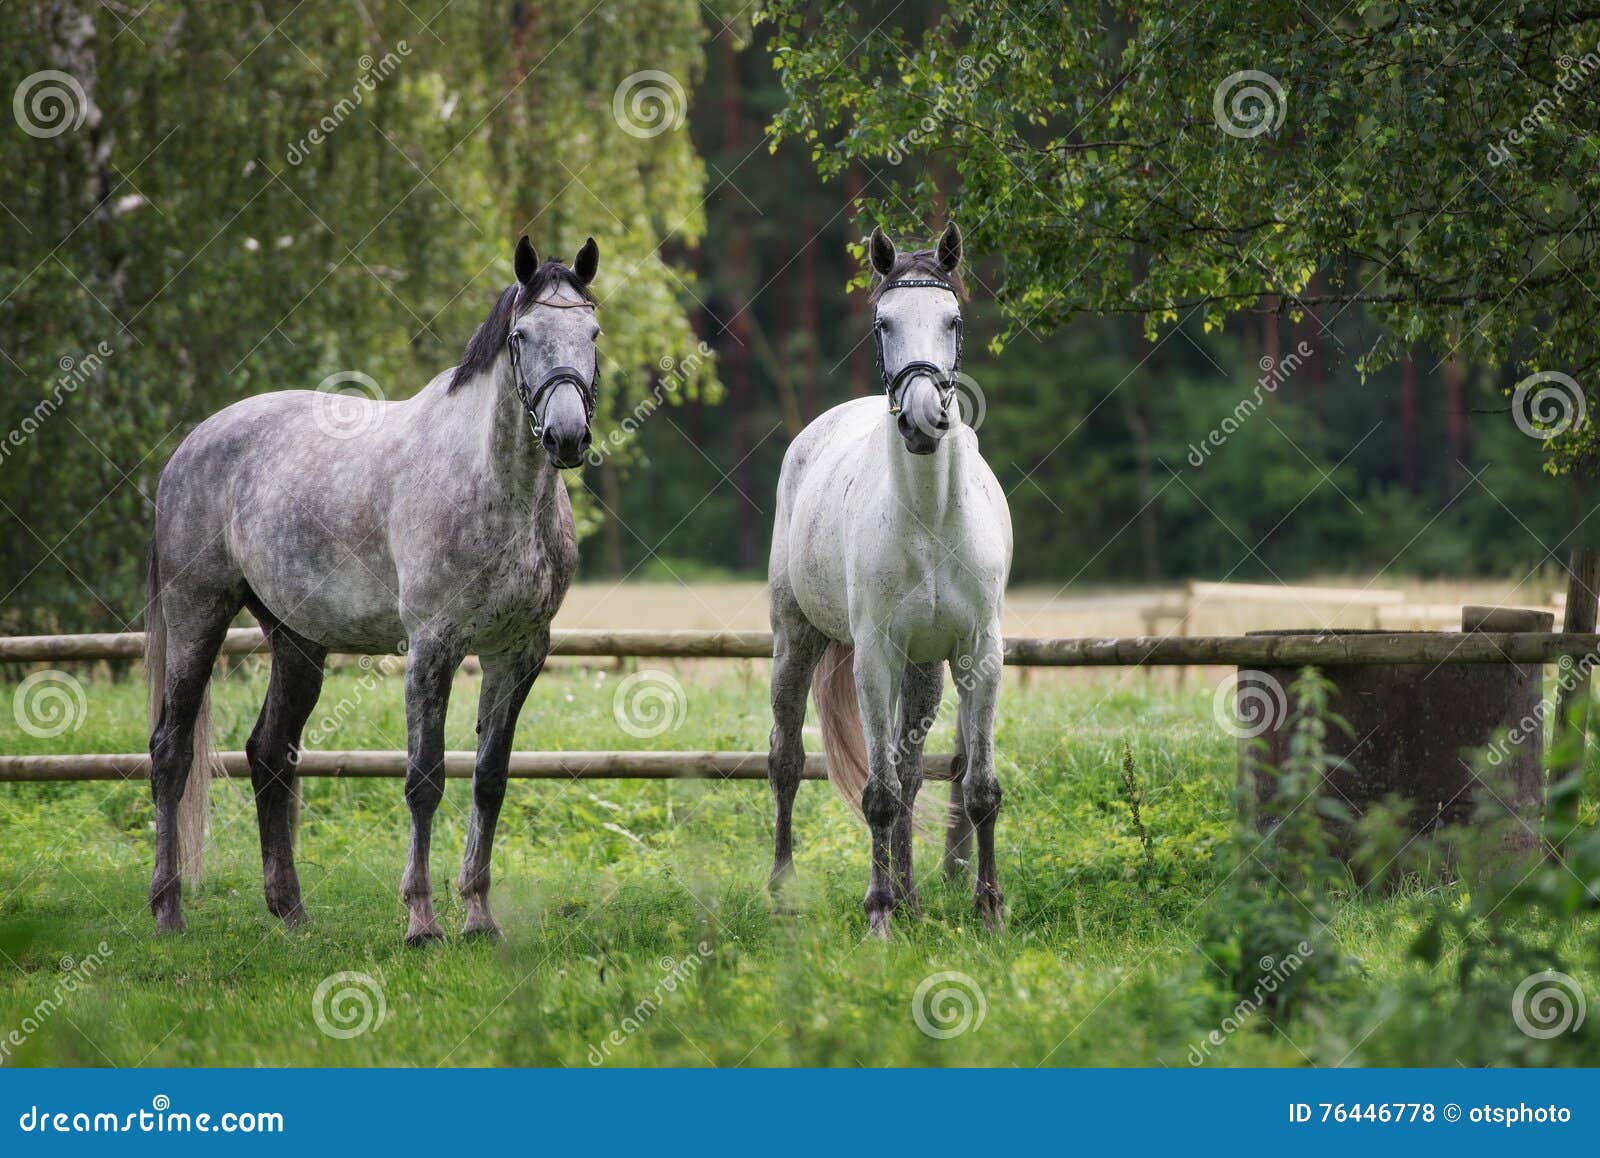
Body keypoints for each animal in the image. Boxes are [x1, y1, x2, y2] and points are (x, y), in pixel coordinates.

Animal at [144, 235, 602, 944]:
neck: (494, 488)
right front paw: (421, 922)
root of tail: (190, 447)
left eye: (593, 333)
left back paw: (292, 915)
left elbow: (490, 780)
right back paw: (168, 911)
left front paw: (479, 916)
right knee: (171, 751)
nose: (567, 437)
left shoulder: (519, 653)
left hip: (297, 642)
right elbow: (424, 780)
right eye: (521, 336)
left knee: (269, 756)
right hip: (197, 614)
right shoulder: (432, 649)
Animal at [765, 222, 1013, 936]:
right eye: (883, 323)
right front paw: (877, 913)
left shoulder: (979, 654)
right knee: (786, 759)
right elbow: (877, 794)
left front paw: (989, 908)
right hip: (796, 641)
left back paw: (910, 894)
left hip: (923, 667)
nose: (923, 418)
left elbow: (976, 789)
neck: (930, 519)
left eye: (953, 320)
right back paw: (786, 889)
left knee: (909, 771)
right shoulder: (874, 657)